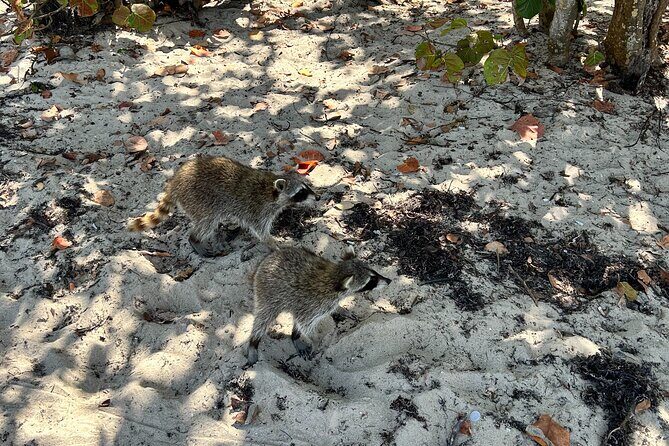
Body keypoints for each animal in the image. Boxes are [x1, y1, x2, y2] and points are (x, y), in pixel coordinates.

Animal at [128, 155, 318, 256]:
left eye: (307, 187)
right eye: (301, 193)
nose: (317, 197)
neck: (271, 188)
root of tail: (176, 181)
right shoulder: (257, 210)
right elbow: (261, 233)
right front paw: (276, 245)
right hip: (199, 200)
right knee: (207, 222)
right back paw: (195, 240)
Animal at [246, 246, 391, 366]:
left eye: (373, 272)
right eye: (371, 280)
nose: (389, 280)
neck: (334, 278)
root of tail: (269, 257)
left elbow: (305, 322)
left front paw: (340, 309)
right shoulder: (313, 303)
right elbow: (305, 325)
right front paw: (316, 340)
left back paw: (295, 335)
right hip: (268, 292)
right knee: (263, 319)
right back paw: (254, 342)